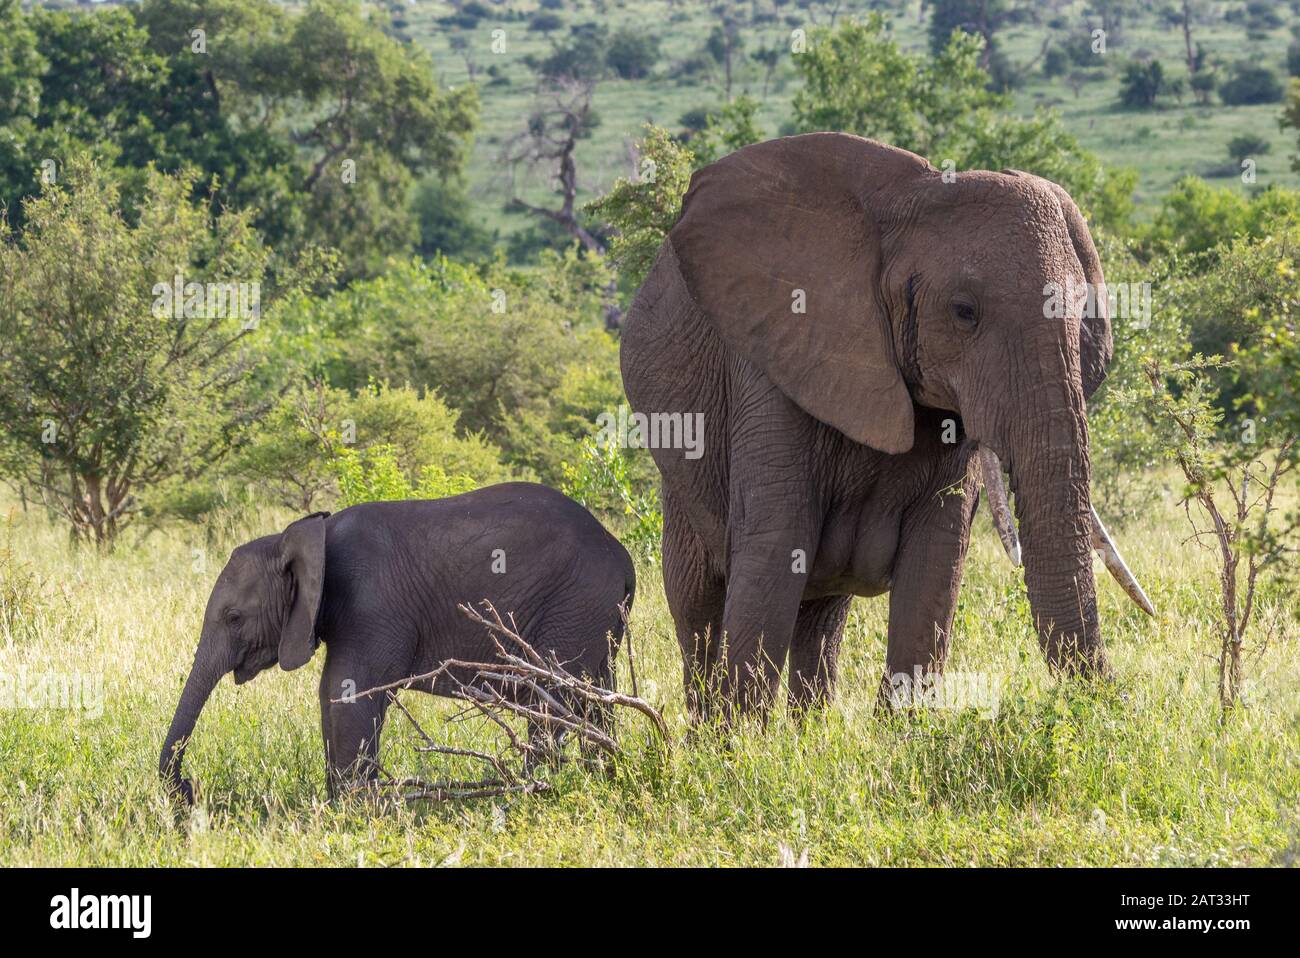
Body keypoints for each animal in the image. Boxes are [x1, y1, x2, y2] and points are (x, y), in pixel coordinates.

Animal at [160, 483, 635, 801]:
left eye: (234, 617)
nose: (189, 788)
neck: (305, 536)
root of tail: (622, 556)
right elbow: (333, 691)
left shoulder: (373, 602)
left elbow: (348, 691)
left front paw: (352, 809)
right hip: (594, 617)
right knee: (595, 699)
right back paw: (602, 777)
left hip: (575, 603)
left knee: (551, 700)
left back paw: (533, 790)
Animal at [620, 132, 1152, 718]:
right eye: (964, 312)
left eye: (1084, 315)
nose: (1119, 702)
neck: (912, 198)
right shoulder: (770, 365)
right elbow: (775, 547)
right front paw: (744, 740)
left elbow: (936, 561)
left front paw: (904, 729)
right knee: (697, 603)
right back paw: (705, 728)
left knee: (822, 614)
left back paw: (809, 728)